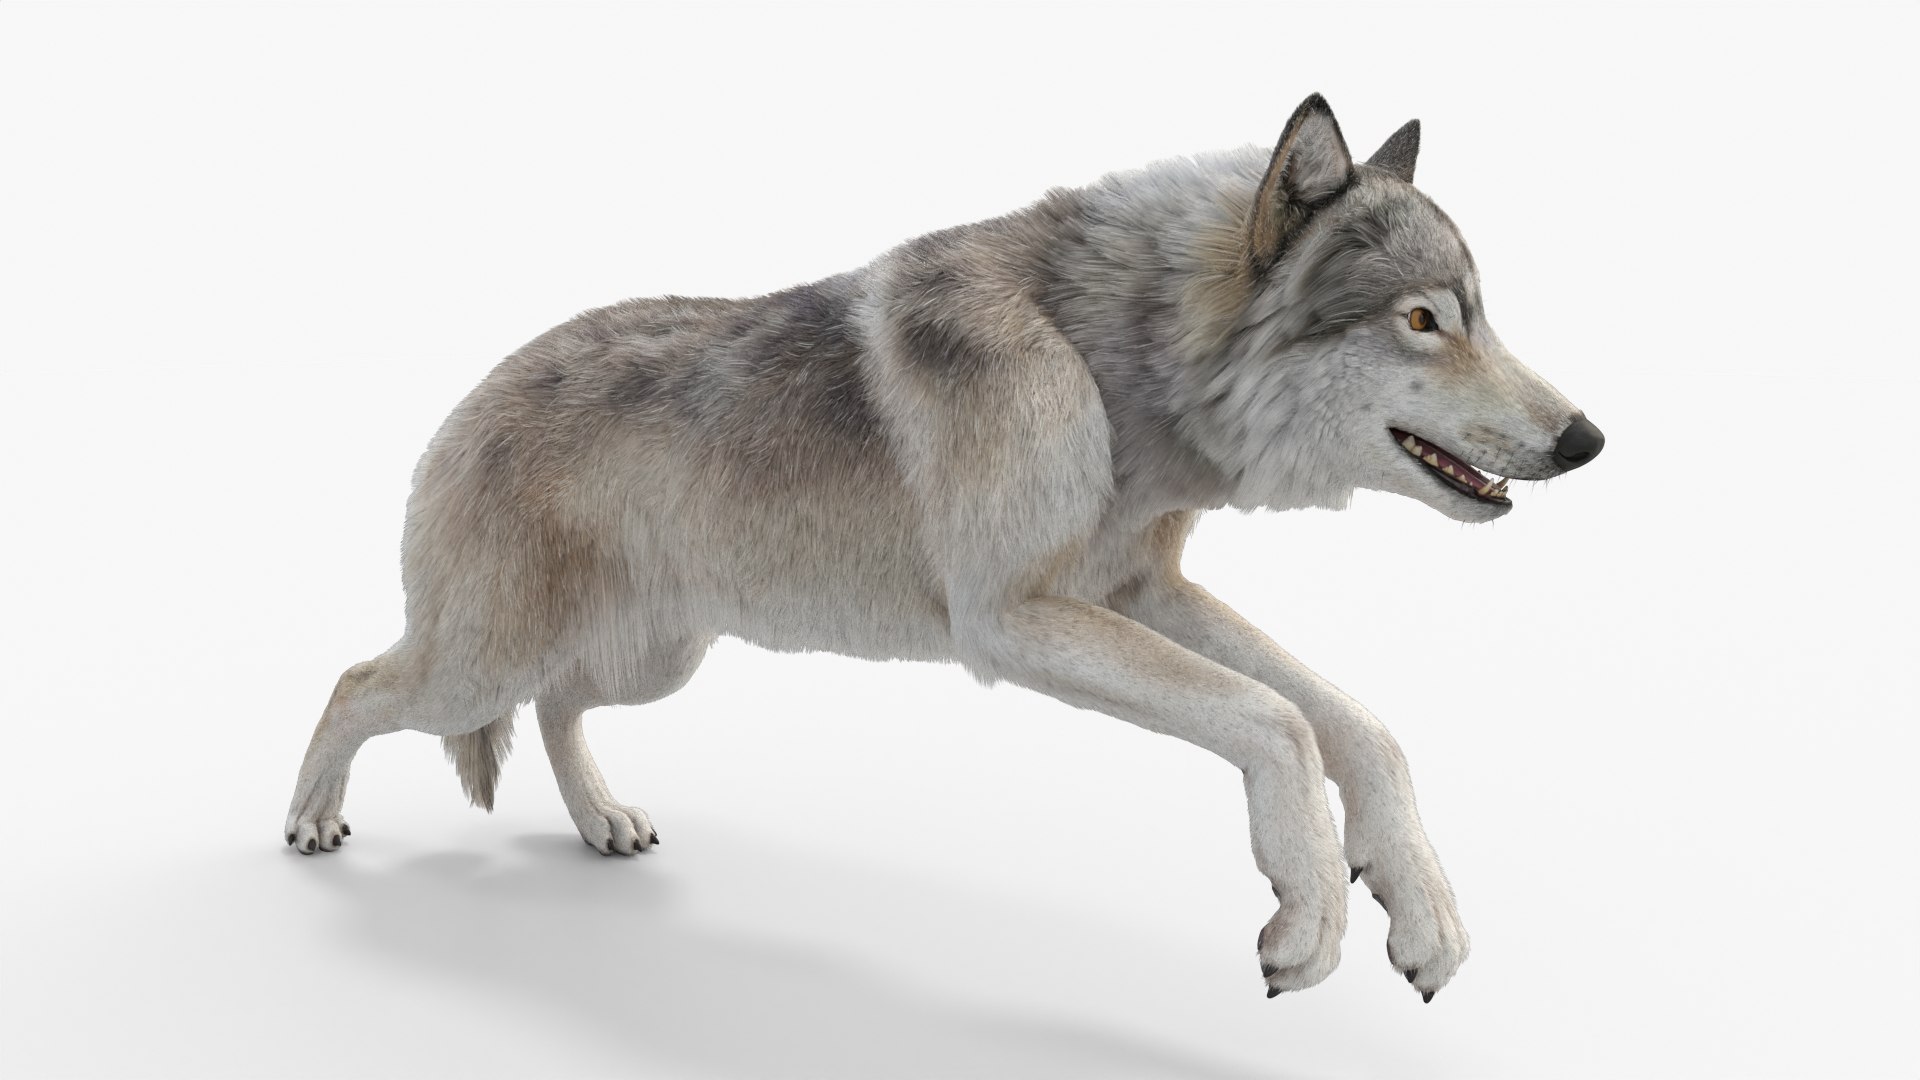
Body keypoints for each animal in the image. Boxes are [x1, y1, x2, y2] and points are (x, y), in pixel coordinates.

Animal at [283, 93, 1603, 1001]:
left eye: (1479, 316)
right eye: (1424, 320)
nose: (1586, 439)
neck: (1110, 368)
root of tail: (477, 388)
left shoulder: (1143, 589)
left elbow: (1358, 725)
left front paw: (1420, 918)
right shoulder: (1013, 621)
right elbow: (1277, 722)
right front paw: (1310, 921)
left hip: (654, 663)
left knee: (556, 707)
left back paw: (605, 823)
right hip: (484, 666)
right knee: (355, 682)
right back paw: (309, 824)